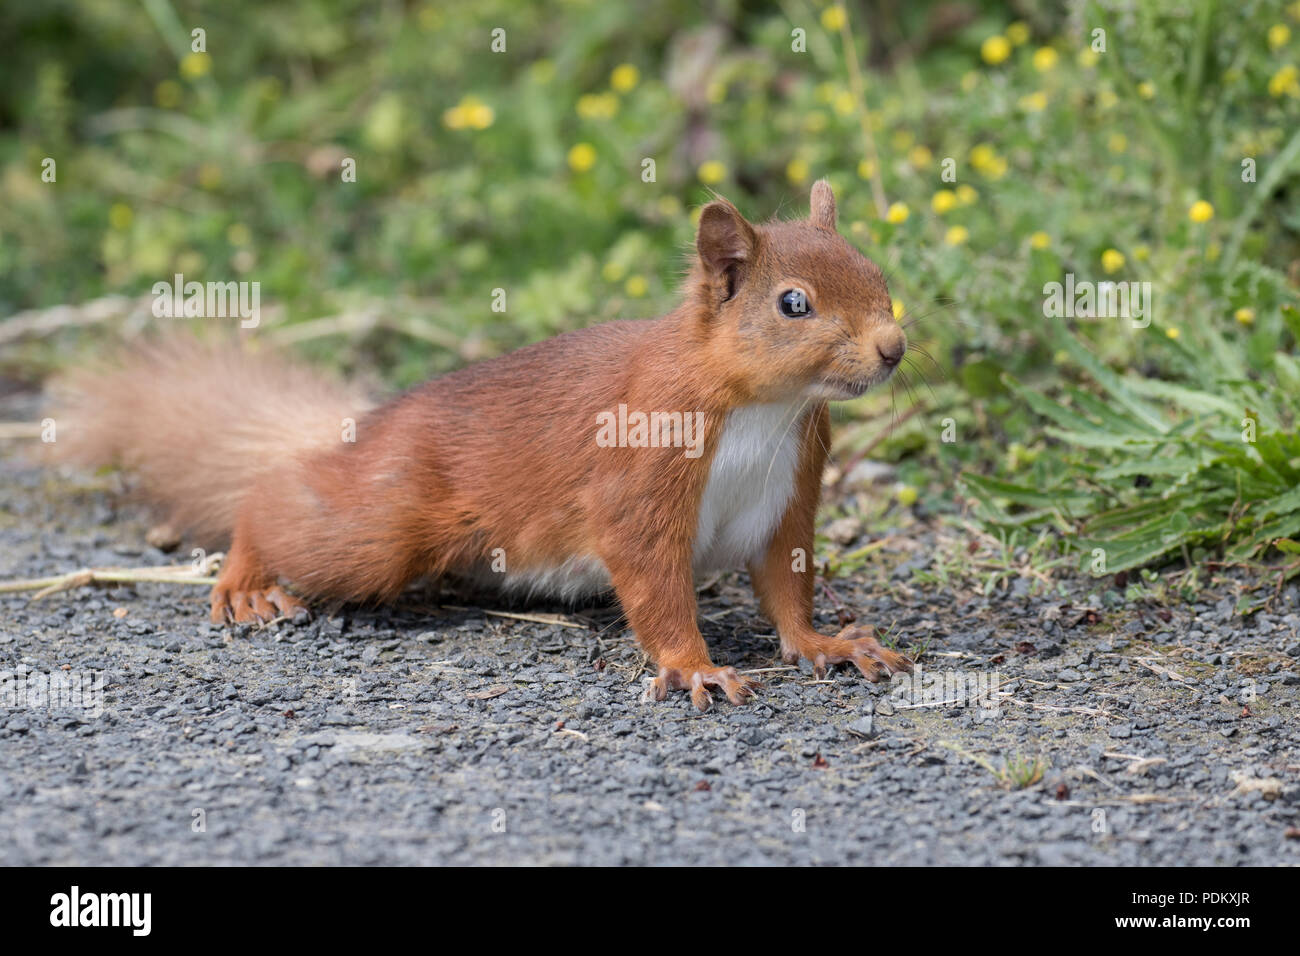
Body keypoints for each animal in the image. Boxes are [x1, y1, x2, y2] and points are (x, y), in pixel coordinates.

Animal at [53, 180, 913, 710]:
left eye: (877, 273)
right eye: (793, 303)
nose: (894, 346)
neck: (765, 410)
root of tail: (369, 432)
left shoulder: (788, 493)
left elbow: (786, 583)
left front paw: (828, 644)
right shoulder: (639, 472)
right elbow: (652, 579)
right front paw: (694, 666)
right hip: (383, 530)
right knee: (277, 500)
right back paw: (247, 580)